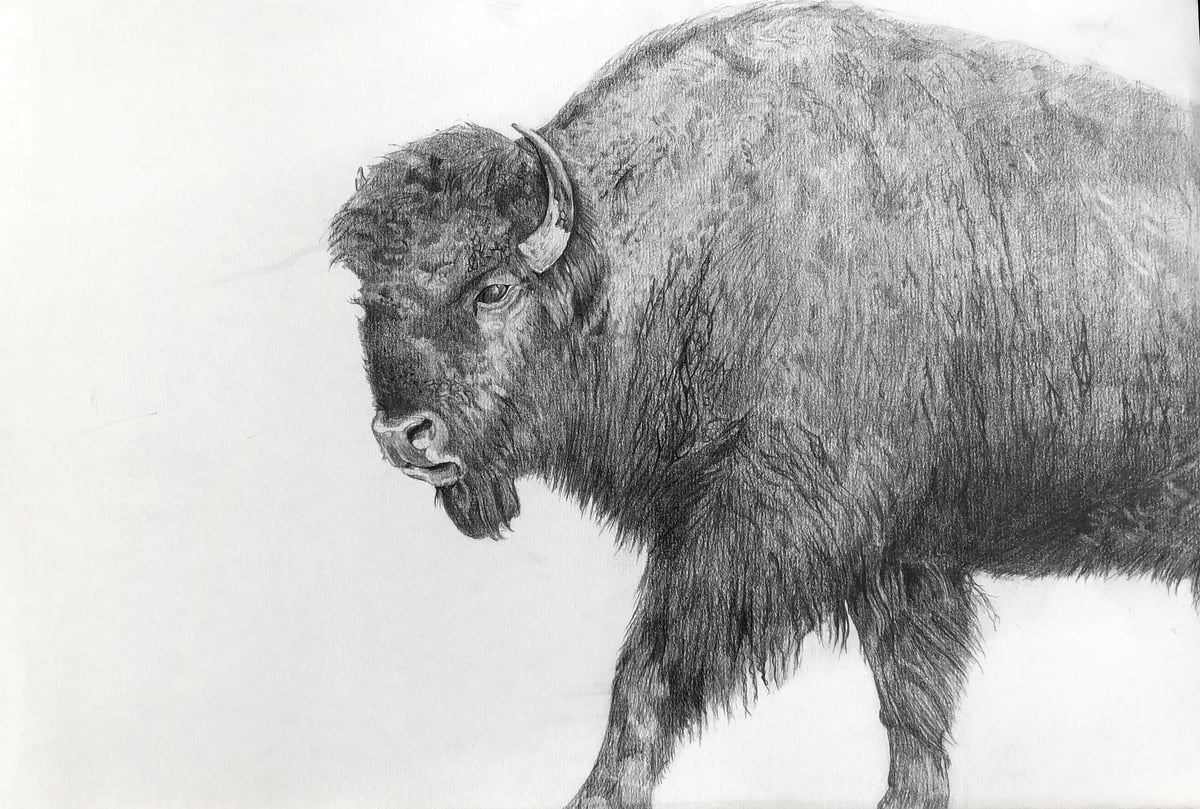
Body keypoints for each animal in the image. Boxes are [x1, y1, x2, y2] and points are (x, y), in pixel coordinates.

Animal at [328, 2, 1199, 807]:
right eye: (367, 300)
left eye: (495, 288)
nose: (404, 435)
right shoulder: (903, 556)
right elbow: (912, 702)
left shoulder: (765, 522)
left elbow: (648, 674)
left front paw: (599, 794)